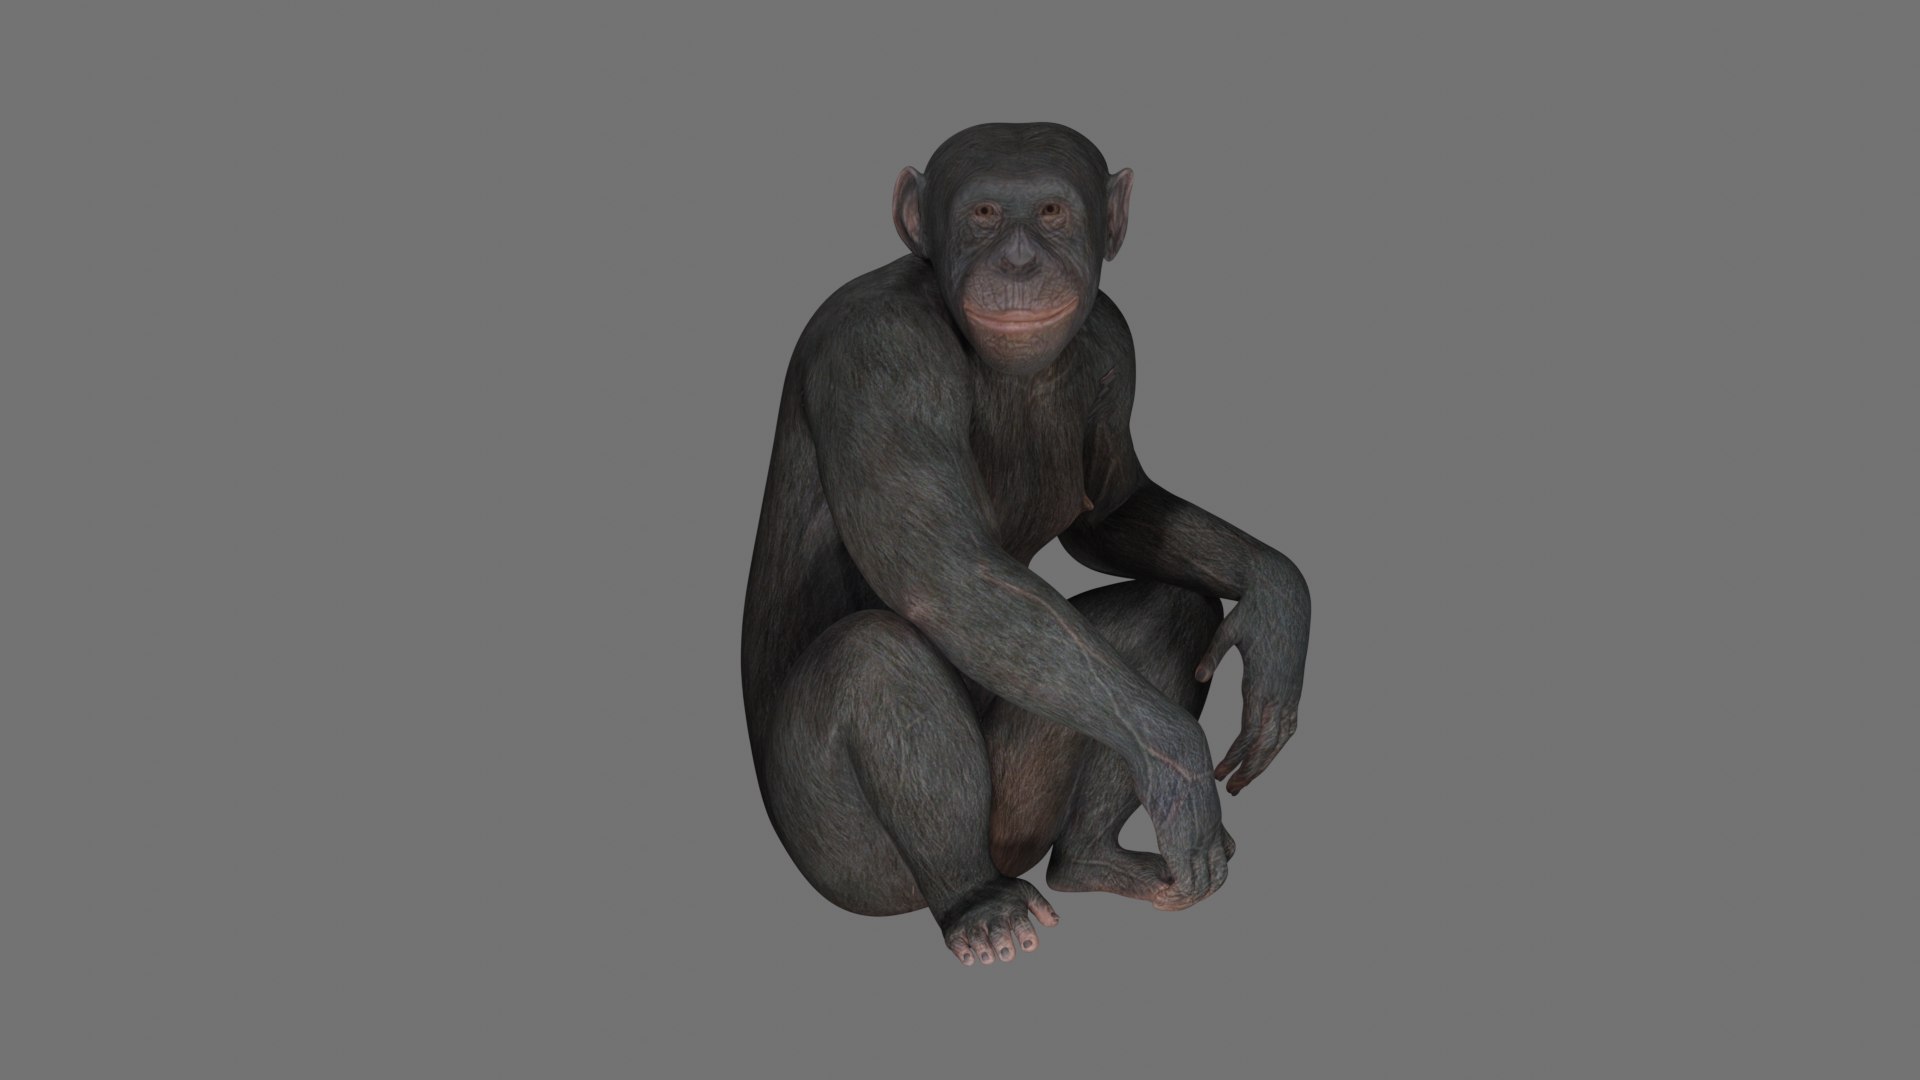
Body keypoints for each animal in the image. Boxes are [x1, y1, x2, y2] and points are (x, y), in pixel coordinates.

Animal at [741, 122, 1310, 966]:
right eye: (982, 213)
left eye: (1049, 211)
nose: (1017, 262)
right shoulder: (877, 351)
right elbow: (941, 571)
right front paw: (1178, 763)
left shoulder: (1113, 340)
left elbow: (1114, 510)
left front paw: (1276, 599)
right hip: (846, 862)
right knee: (873, 657)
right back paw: (978, 904)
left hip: (1021, 807)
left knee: (1169, 613)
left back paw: (1091, 860)